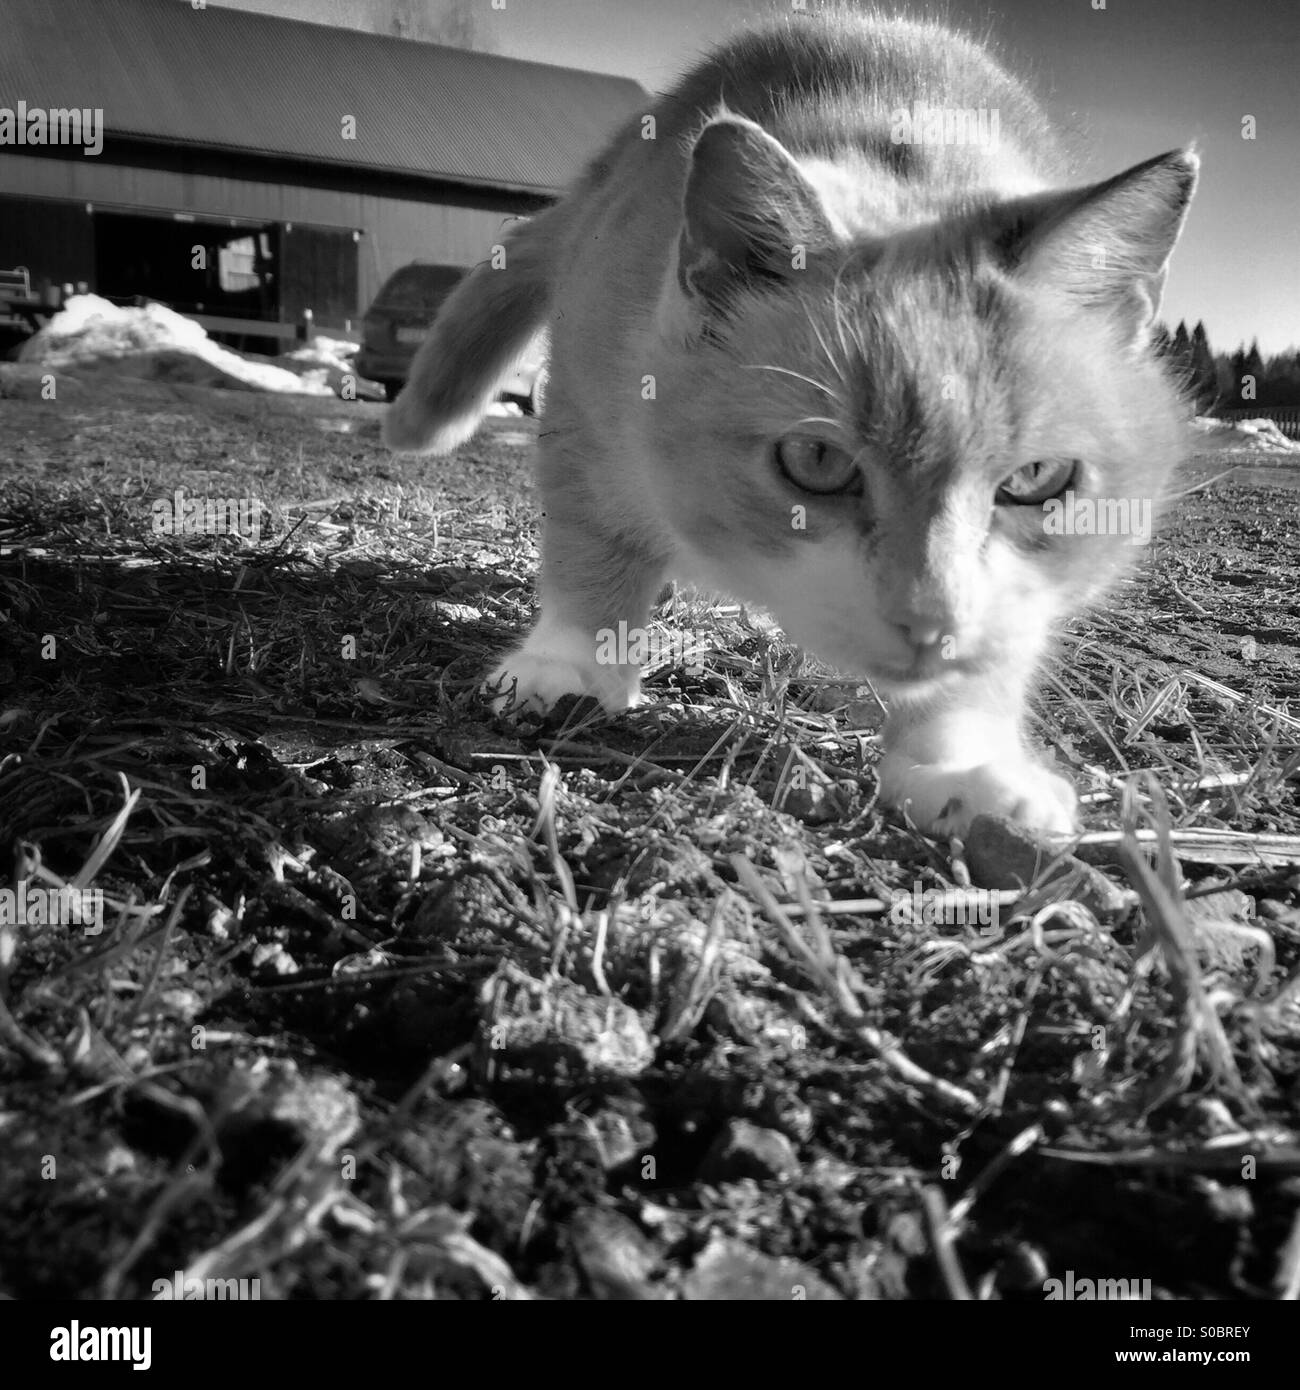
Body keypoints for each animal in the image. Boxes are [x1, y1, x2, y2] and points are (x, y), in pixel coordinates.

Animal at [386, 10, 1201, 834]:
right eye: (816, 460)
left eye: (1036, 478)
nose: (929, 623)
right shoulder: (590, 407)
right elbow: (595, 542)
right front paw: (569, 665)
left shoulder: (1016, 602)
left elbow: (994, 651)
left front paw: (961, 765)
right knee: (525, 239)